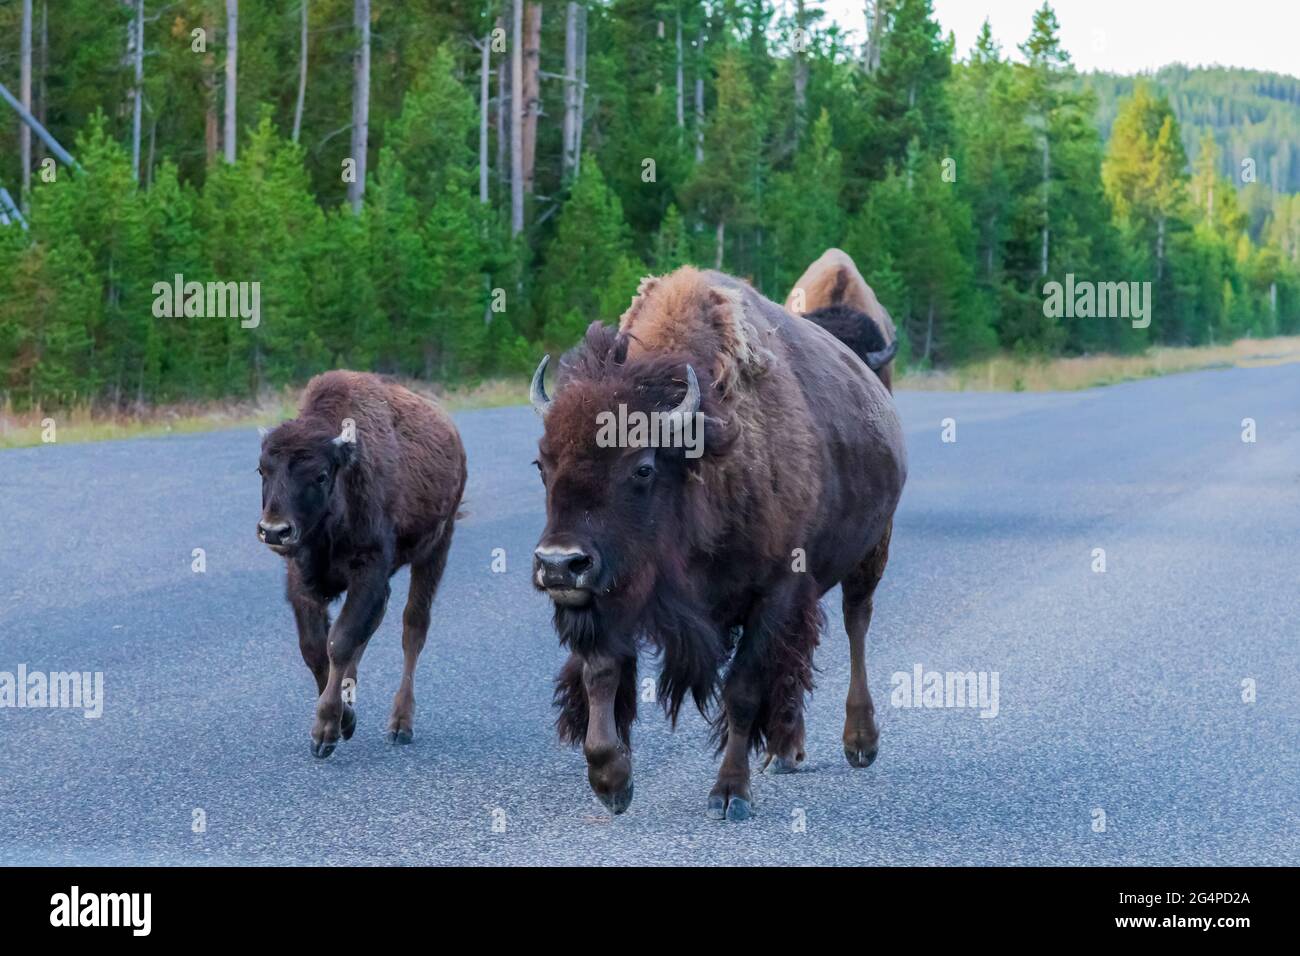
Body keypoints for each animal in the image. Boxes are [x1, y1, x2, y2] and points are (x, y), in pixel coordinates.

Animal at [257, 371, 466, 757]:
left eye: (321, 475)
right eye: (262, 470)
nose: (275, 531)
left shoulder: (368, 573)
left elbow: (339, 642)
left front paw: (325, 732)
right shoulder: (303, 582)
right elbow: (317, 649)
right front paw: (345, 719)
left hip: (436, 547)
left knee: (413, 628)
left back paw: (401, 724)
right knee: (374, 624)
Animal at [529, 259, 906, 820]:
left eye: (642, 468)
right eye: (541, 464)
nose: (558, 564)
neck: (700, 454)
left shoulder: (774, 591)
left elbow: (743, 691)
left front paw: (731, 794)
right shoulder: (611, 593)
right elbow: (602, 672)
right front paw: (611, 781)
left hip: (870, 552)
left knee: (855, 624)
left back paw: (859, 741)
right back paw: (786, 750)